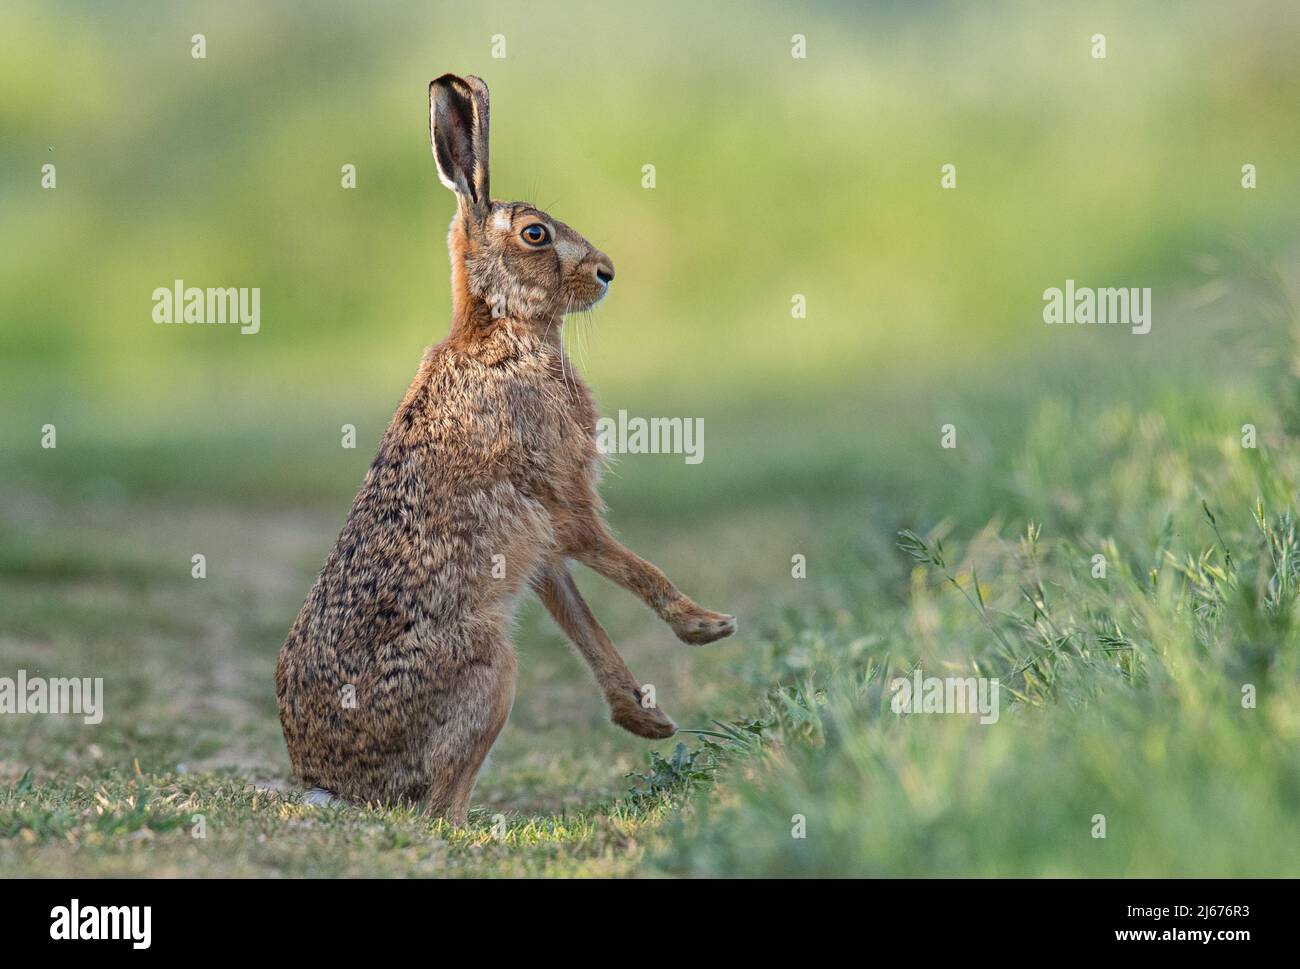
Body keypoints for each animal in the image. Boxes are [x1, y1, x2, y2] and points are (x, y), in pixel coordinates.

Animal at [275, 73, 737, 824]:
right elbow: (635, 567)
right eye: (535, 234)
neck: (502, 331)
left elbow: (582, 622)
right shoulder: (564, 502)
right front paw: (706, 627)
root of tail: (335, 784)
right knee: (438, 810)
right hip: (494, 672)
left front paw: (648, 721)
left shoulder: (541, 542)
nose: (607, 272)